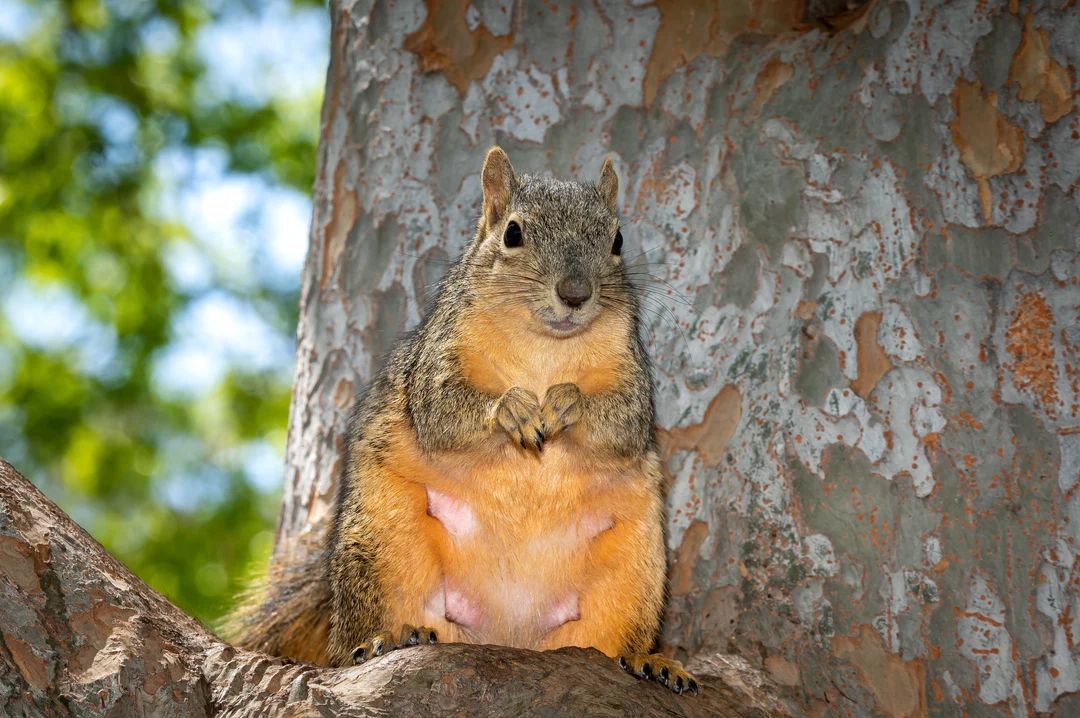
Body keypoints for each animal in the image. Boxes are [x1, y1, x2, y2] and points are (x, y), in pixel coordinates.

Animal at [227, 147, 698, 695]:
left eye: (617, 240)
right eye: (512, 233)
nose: (576, 293)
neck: (546, 348)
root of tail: (510, 633)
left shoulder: (634, 377)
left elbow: (626, 423)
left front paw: (567, 403)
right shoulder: (436, 359)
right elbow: (440, 410)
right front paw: (511, 409)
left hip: (635, 563)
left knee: (616, 632)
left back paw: (647, 659)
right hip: (383, 538)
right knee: (351, 641)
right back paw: (383, 639)